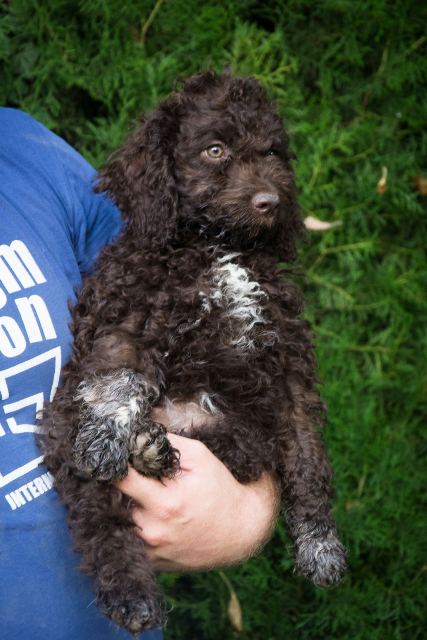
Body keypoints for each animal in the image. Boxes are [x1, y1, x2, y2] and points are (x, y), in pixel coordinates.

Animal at [41, 72, 348, 632]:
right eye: (214, 150)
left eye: (272, 152)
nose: (270, 200)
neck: (221, 249)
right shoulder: (127, 317)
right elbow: (118, 378)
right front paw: (105, 439)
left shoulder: (287, 361)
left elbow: (306, 454)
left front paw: (321, 545)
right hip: (60, 422)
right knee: (101, 519)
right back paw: (132, 590)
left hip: (237, 432)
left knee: (242, 453)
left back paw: (154, 452)